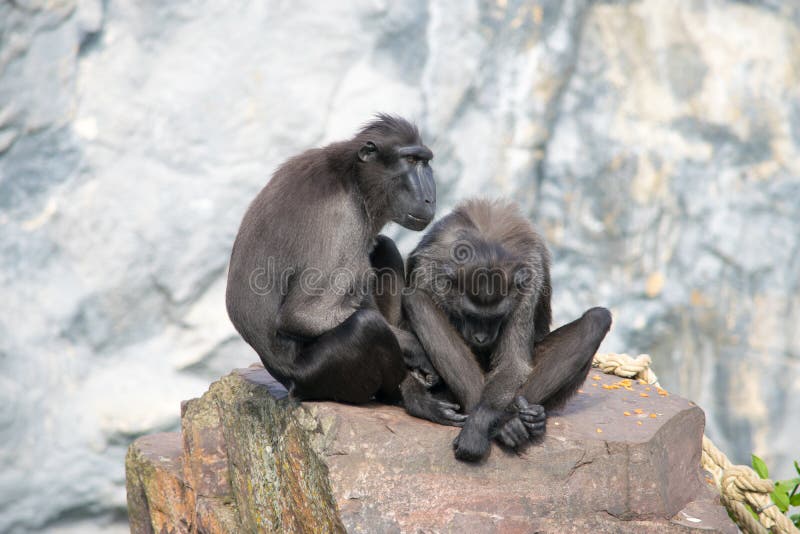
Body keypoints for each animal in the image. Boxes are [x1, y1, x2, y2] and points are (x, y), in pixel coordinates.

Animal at [225, 114, 459, 423]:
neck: (354, 177)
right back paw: (409, 396)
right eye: (410, 160)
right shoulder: (343, 219)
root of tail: (289, 385)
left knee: (384, 247)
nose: (430, 199)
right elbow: (303, 315)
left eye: (425, 162)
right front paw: (418, 352)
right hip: (316, 379)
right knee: (367, 326)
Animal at [402, 199, 612, 461]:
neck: (487, 242)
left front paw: (482, 421)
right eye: (469, 315)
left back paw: (518, 421)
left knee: (597, 320)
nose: (481, 337)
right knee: (416, 300)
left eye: (497, 317)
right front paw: (420, 399)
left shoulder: (528, 284)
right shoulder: (427, 270)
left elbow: (513, 364)